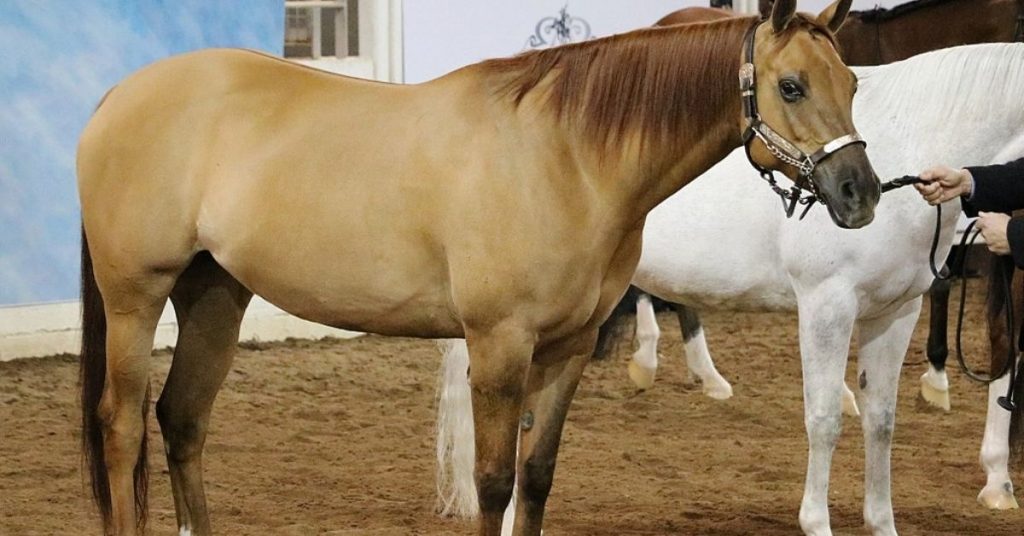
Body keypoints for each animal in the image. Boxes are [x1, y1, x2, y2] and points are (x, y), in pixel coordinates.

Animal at [76, 1, 874, 534]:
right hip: (135, 298)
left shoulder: (568, 348)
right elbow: (493, 483)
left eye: (854, 84)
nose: (859, 192)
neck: (567, 156)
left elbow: (537, 477)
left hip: (216, 294)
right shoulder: (498, 345)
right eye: (792, 86)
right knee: (121, 427)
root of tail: (119, 96)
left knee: (182, 420)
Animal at [435, 43, 1024, 535]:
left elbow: (881, 421)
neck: (914, 133)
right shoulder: (827, 305)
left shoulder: (895, 312)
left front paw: (883, 522)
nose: (861, 197)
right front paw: (817, 521)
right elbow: (824, 419)